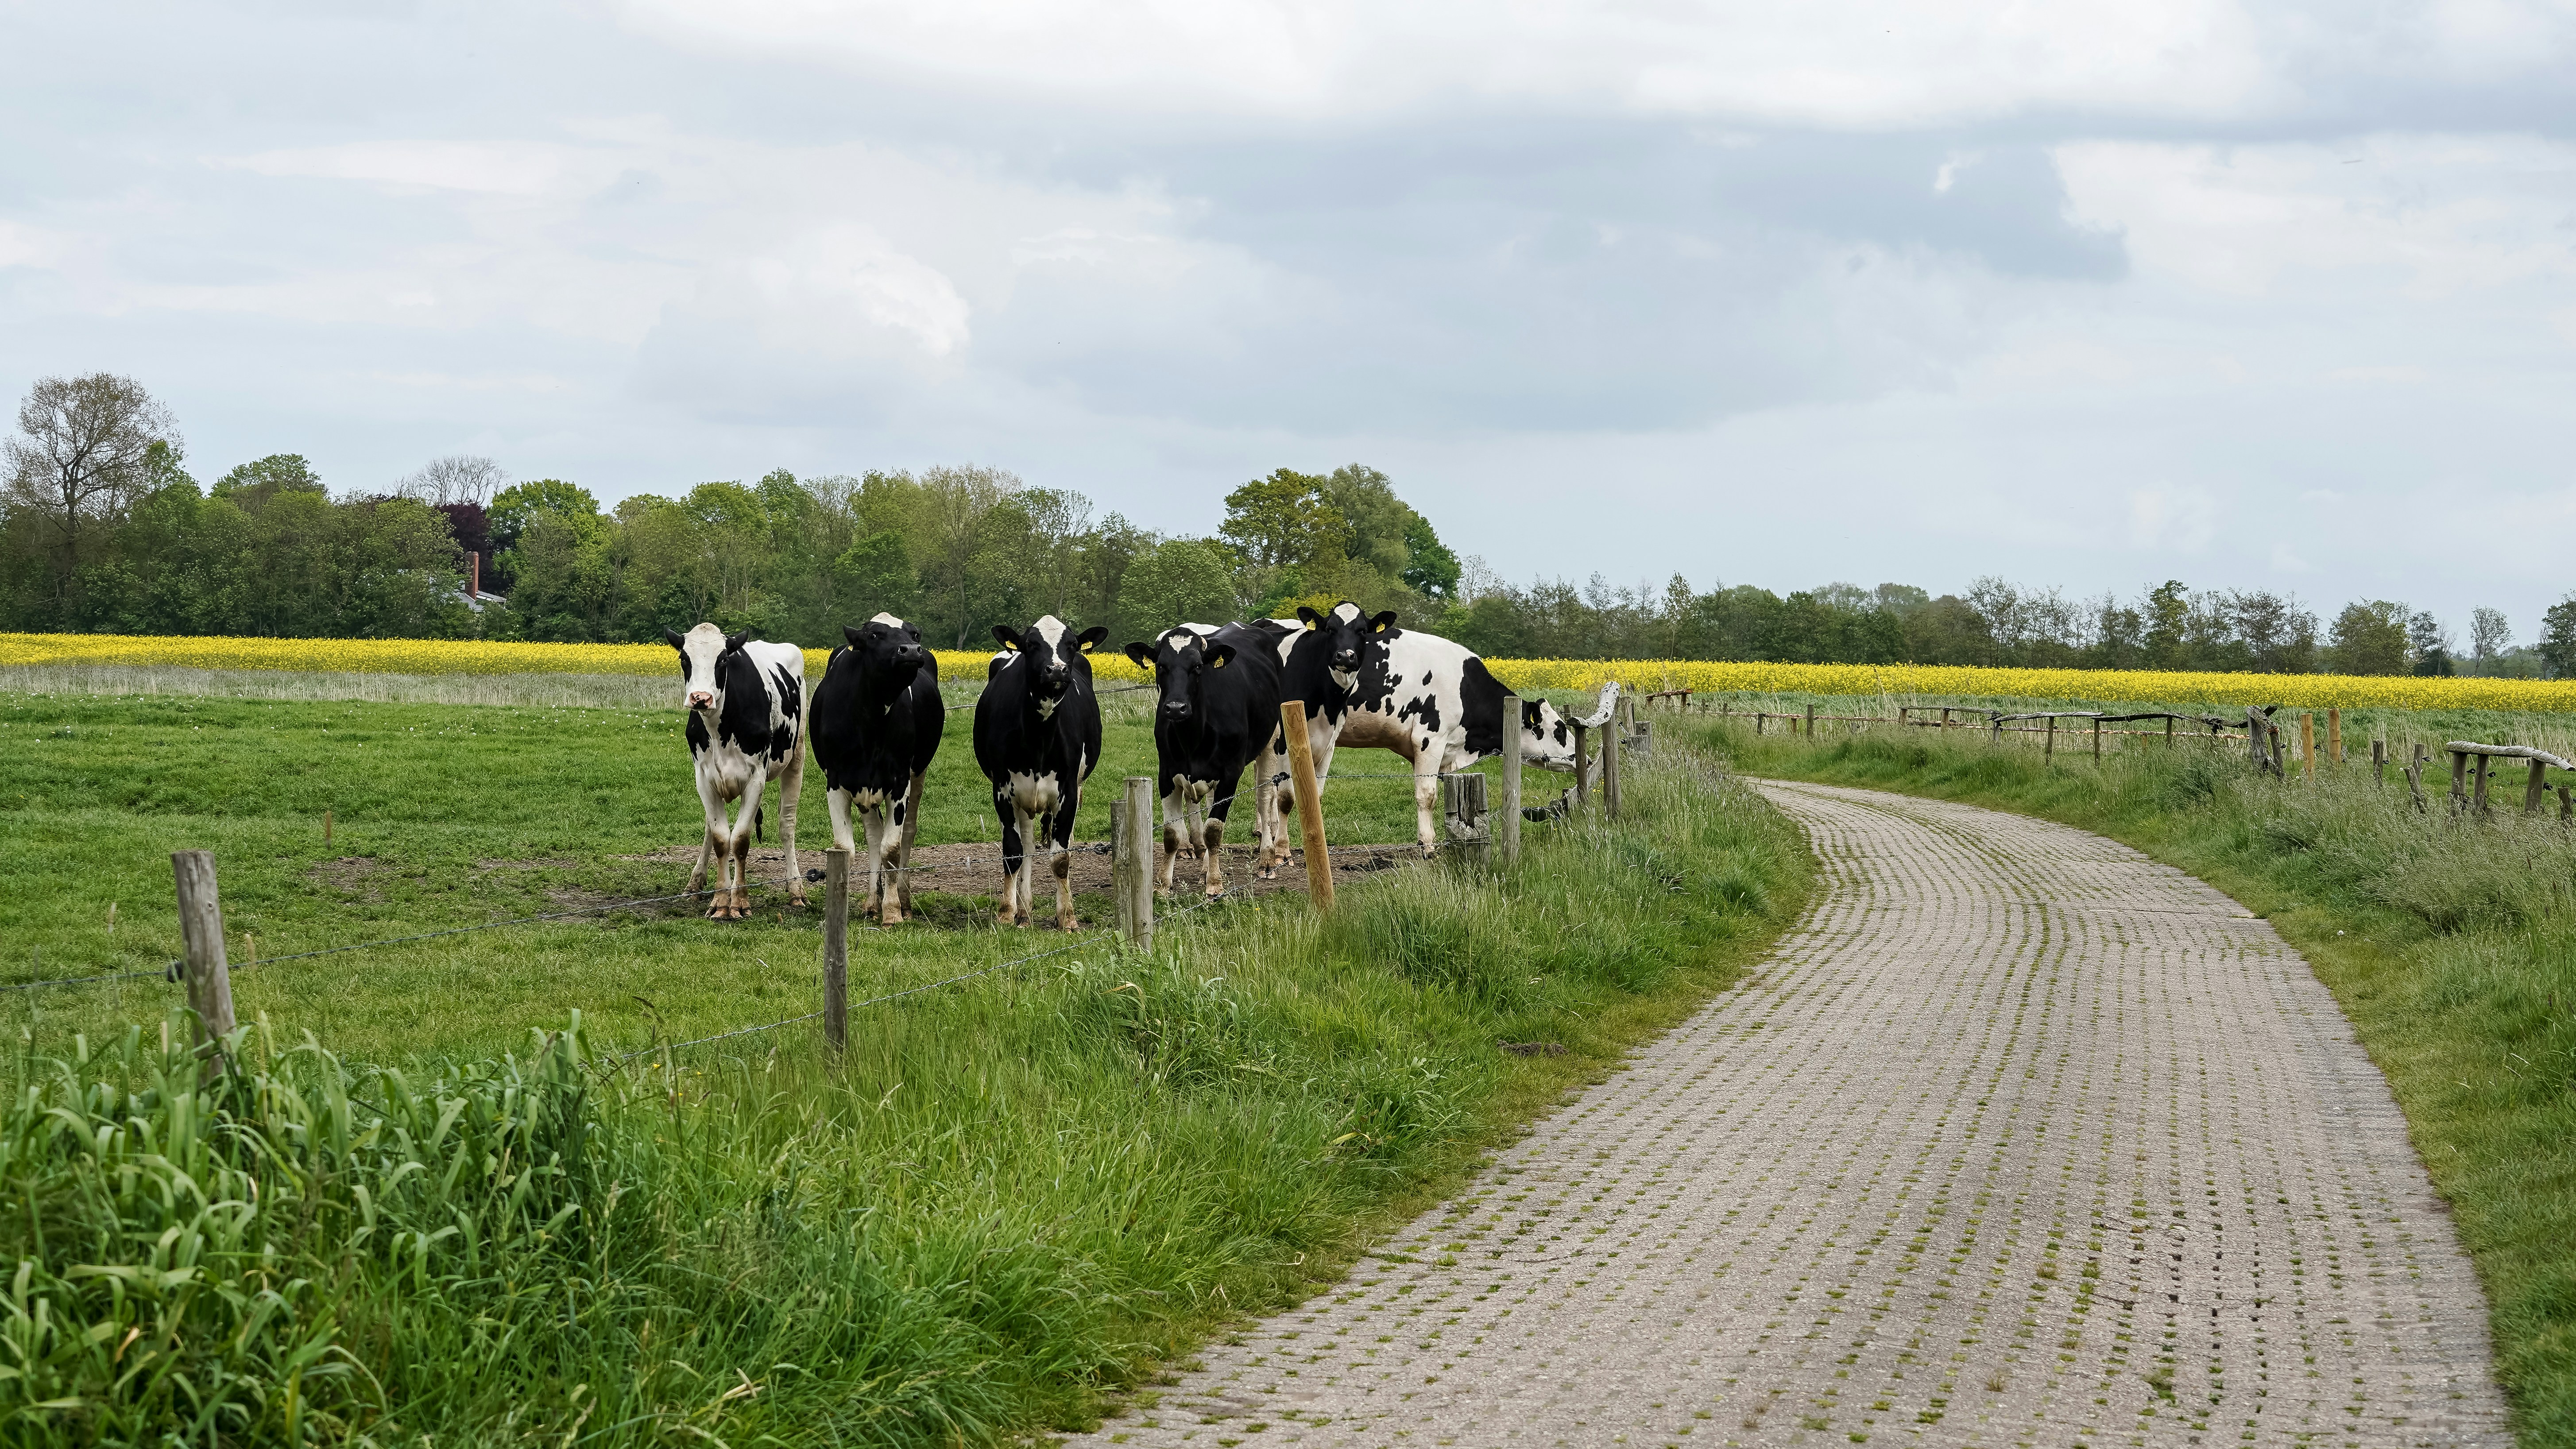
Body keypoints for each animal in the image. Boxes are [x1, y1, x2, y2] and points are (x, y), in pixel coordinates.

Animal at [665, 623, 807, 919]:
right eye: (684, 658)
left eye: (723, 660)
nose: (701, 698)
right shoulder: (703, 778)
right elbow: (721, 838)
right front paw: (720, 901)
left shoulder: (756, 779)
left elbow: (740, 840)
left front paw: (739, 902)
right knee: (710, 829)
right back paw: (695, 883)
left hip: (796, 757)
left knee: (787, 824)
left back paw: (796, 889)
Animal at [809, 612, 945, 924]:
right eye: (873, 636)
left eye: (915, 634)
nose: (911, 650)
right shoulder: (837, 782)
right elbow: (846, 849)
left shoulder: (899, 780)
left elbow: (891, 849)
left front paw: (893, 911)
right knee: (873, 836)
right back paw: (872, 901)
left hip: (917, 774)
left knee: (906, 833)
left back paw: (902, 900)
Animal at [972, 615, 1110, 929]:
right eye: (1031, 645)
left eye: (1072, 645)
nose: (1057, 669)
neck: (1040, 737)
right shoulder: (1002, 789)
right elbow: (1014, 851)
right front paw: (1006, 913)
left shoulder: (1068, 791)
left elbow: (1061, 859)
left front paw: (1067, 918)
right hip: (1023, 798)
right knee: (1028, 846)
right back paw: (1024, 909)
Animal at [1123, 621, 1285, 897]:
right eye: (1160, 665)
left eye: (1198, 666)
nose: (1176, 708)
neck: (1193, 737)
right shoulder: (1167, 774)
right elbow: (1172, 834)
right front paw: (1163, 884)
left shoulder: (1230, 774)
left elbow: (1214, 831)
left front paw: (1215, 882)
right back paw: (1206, 867)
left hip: (1271, 743)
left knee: (1264, 799)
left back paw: (1266, 859)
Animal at [1257, 601, 1582, 862]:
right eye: (1560, 730)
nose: (1583, 758)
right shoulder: (1429, 739)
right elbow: (1427, 796)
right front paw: (1428, 845)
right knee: (1270, 789)